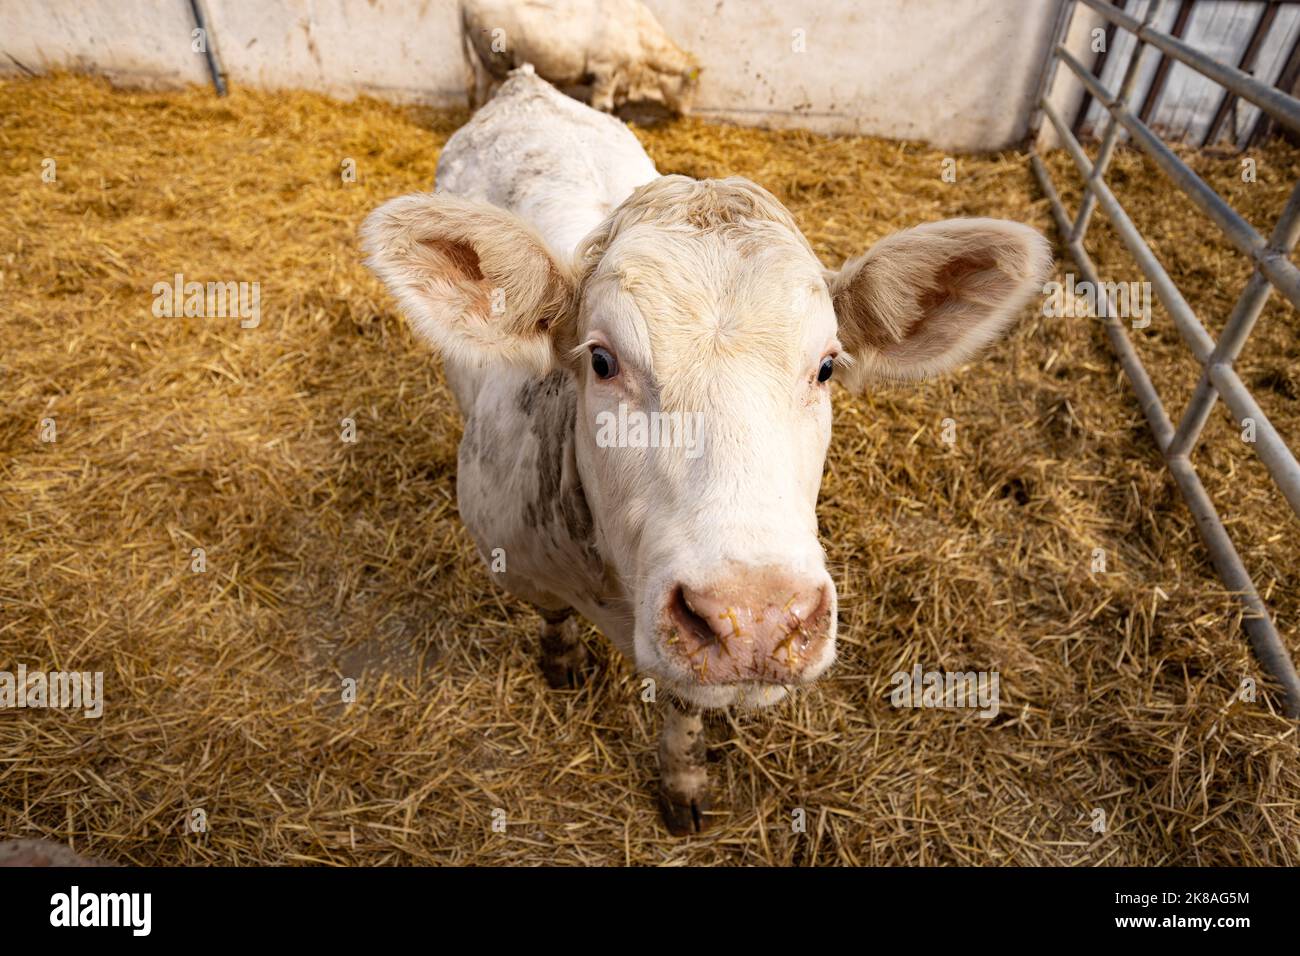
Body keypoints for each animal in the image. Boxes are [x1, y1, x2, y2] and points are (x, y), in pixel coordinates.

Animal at [362, 66, 1051, 834]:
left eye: (826, 366)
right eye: (601, 360)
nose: (757, 618)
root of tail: (525, 84)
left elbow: (686, 707)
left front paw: (683, 779)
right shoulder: (516, 558)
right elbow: (553, 615)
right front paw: (563, 660)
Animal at [460, 0, 700, 114]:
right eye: (691, 85)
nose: (685, 113)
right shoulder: (605, 71)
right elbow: (603, 106)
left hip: (483, 60)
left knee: (478, 89)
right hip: (496, 58)